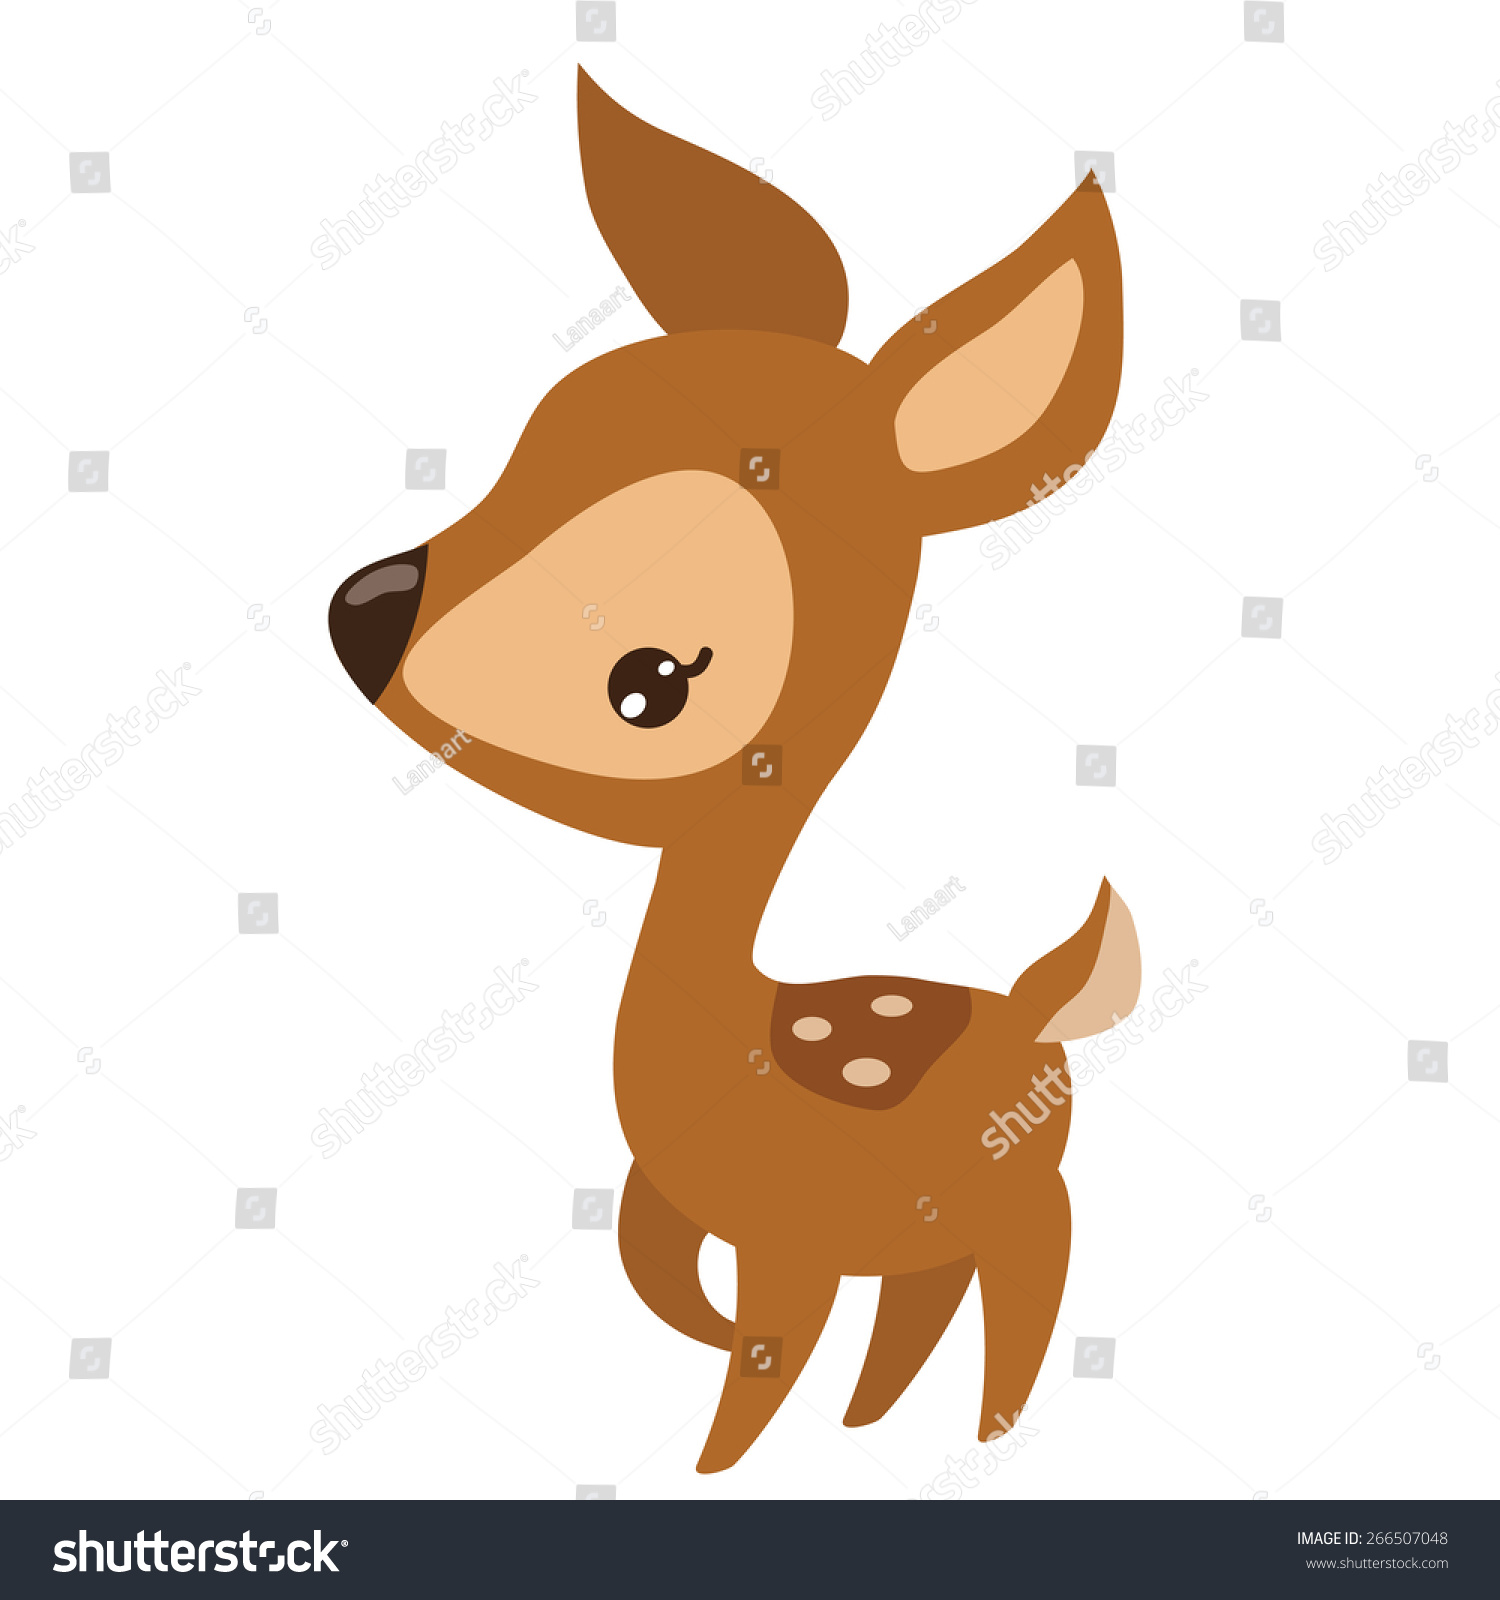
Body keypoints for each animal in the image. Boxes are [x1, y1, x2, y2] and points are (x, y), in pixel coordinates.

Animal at [329, 69, 1139, 1474]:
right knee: (922, 1303)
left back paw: (985, 1436)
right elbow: (683, 1301)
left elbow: (758, 1364)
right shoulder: (681, 1214)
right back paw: (878, 1424)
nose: (366, 611)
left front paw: (714, 1464)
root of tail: (1044, 1009)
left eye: (651, 682)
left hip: (1026, 1192)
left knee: (1023, 1288)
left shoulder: (787, 1248)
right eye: (531, 447)